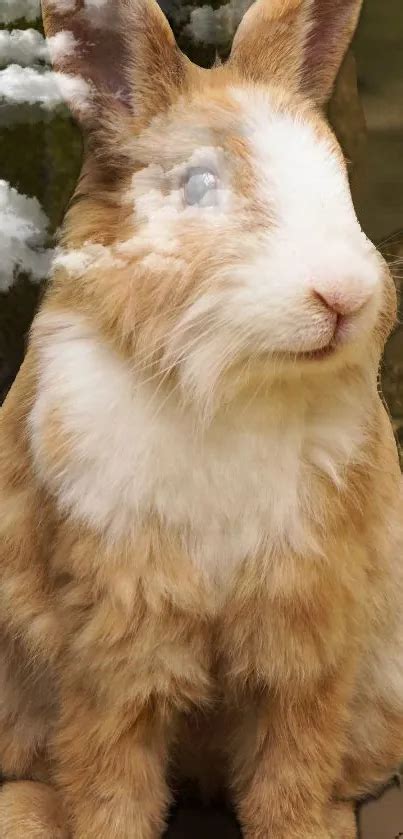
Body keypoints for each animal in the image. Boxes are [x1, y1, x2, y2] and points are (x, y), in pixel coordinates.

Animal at [0, 0, 402, 836]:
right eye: (198, 184)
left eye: (335, 176)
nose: (342, 296)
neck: (230, 385)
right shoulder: (116, 623)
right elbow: (109, 763)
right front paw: (105, 829)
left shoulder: (306, 618)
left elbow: (292, 755)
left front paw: (298, 828)